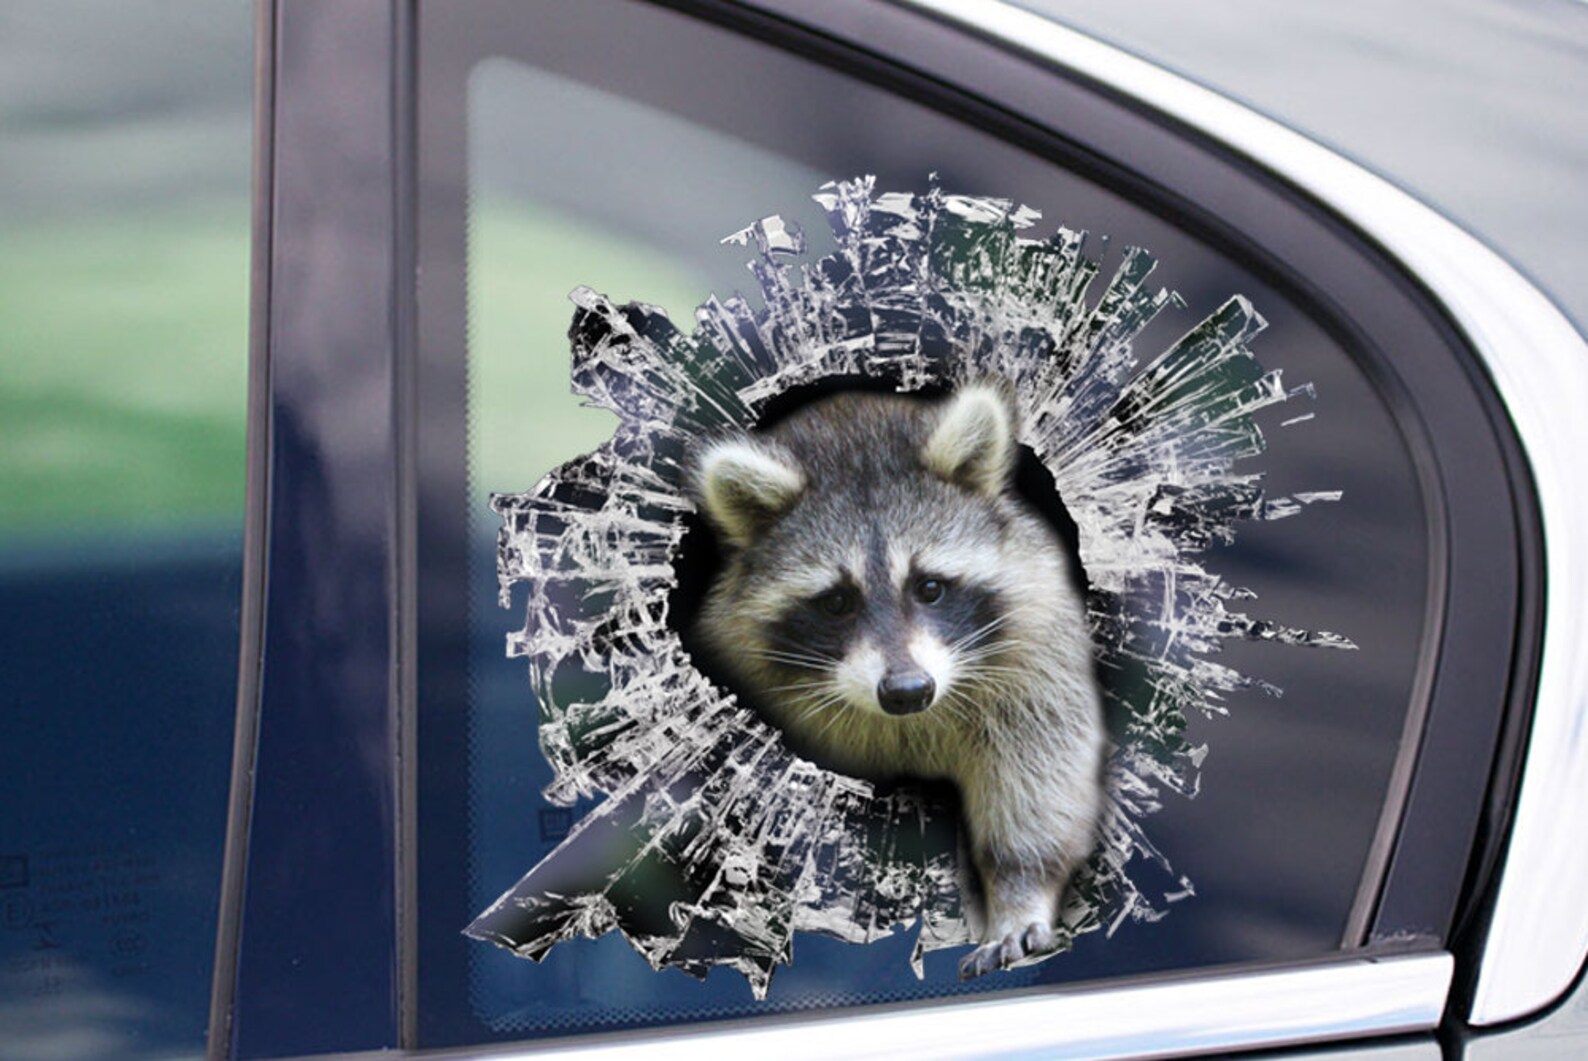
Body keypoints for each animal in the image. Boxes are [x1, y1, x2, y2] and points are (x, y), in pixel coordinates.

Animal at [688, 382, 1106, 980]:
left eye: (929, 587)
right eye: (837, 602)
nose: (907, 692)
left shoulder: (1035, 649)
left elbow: (1038, 771)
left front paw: (1020, 890)